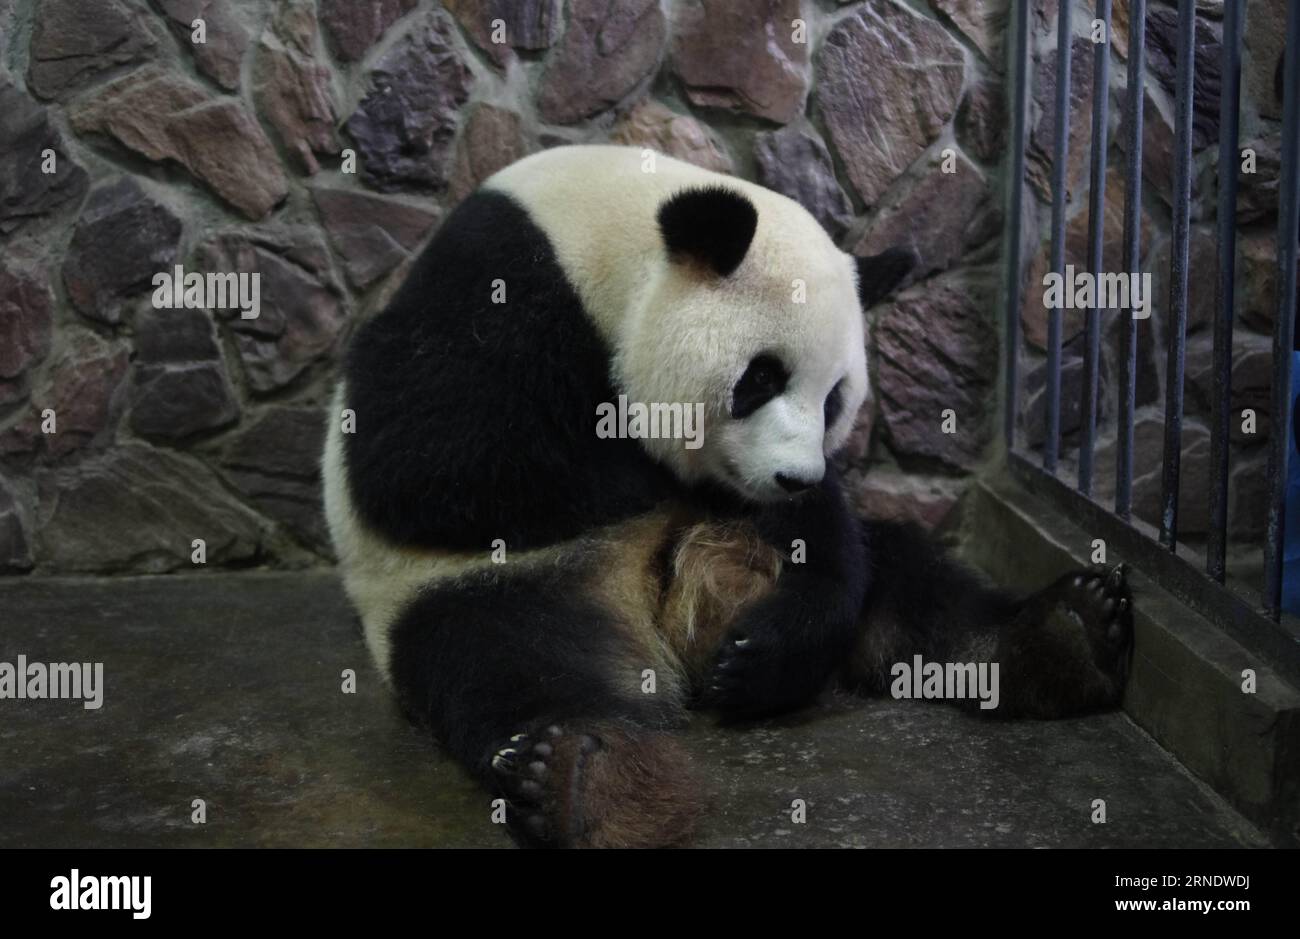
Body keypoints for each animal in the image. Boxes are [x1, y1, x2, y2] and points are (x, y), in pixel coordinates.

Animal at [322, 145, 1134, 848]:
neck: (614, 244)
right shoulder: (500, 284)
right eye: (761, 377)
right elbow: (424, 455)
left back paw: (1063, 636)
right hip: (482, 586)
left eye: (836, 399)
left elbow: (829, 549)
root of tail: (654, 609)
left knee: (914, 580)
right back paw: (579, 782)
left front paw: (761, 657)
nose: (794, 477)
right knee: (512, 665)